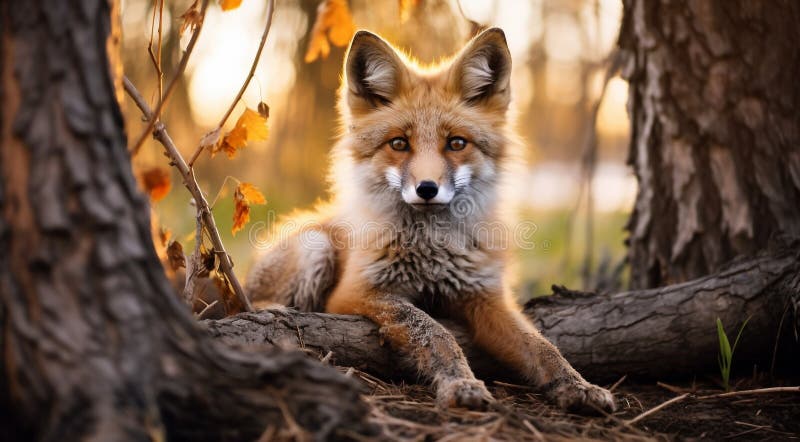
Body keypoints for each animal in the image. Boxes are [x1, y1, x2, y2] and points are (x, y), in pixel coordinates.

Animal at [246, 28, 615, 413]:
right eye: (398, 143)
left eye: (456, 143)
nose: (427, 189)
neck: (433, 252)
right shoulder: (355, 293)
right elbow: (432, 330)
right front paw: (459, 382)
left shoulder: (485, 296)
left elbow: (542, 346)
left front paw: (576, 384)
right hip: (314, 247)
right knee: (251, 299)